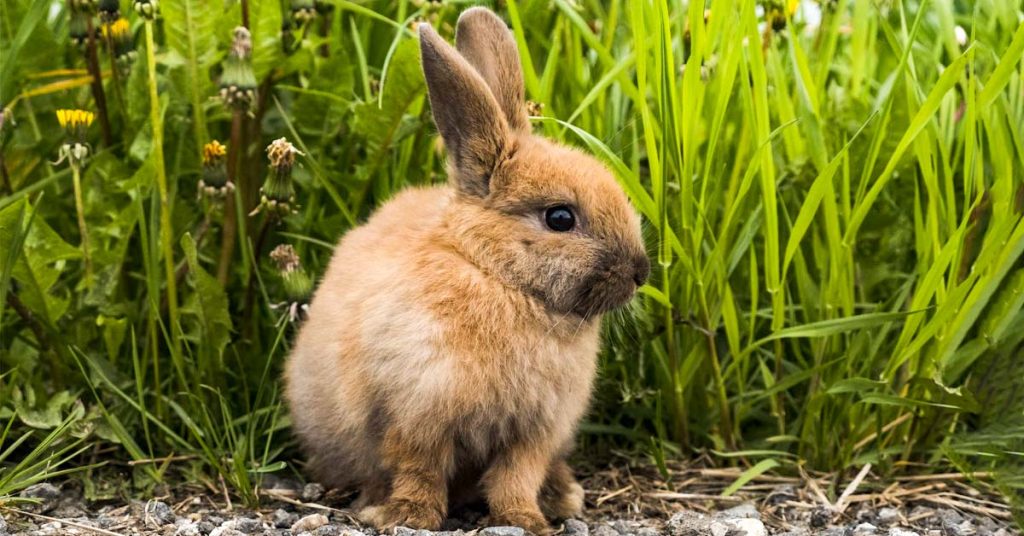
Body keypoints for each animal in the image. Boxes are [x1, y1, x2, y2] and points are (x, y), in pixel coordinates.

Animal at [283, 7, 649, 535]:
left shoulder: (533, 432)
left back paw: (562, 496)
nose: (641, 271)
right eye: (560, 218)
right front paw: (409, 516)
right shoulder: (414, 415)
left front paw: (526, 520)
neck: (497, 277)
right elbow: (419, 469)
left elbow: (516, 478)